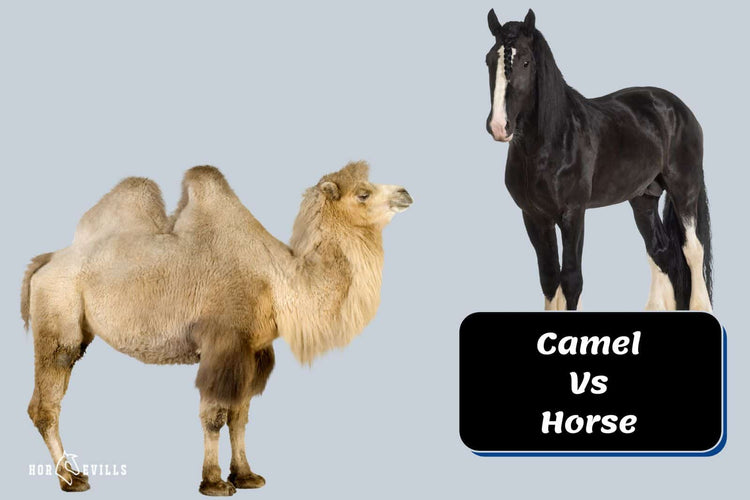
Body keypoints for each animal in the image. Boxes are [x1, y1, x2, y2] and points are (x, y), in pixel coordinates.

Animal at [21, 161, 412, 495]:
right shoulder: (223, 344)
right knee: (46, 402)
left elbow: (240, 417)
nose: (405, 193)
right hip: (58, 319)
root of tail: (45, 262)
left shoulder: (254, 351)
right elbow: (214, 416)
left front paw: (246, 475)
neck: (279, 281)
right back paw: (70, 479)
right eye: (363, 193)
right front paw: (213, 482)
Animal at [485, 8, 712, 311]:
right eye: (489, 60)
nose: (499, 126)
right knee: (660, 251)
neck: (551, 142)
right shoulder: (534, 216)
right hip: (643, 199)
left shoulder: (573, 213)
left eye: (525, 61)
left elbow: (571, 280)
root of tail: (679, 108)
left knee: (693, 250)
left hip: (684, 190)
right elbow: (549, 278)